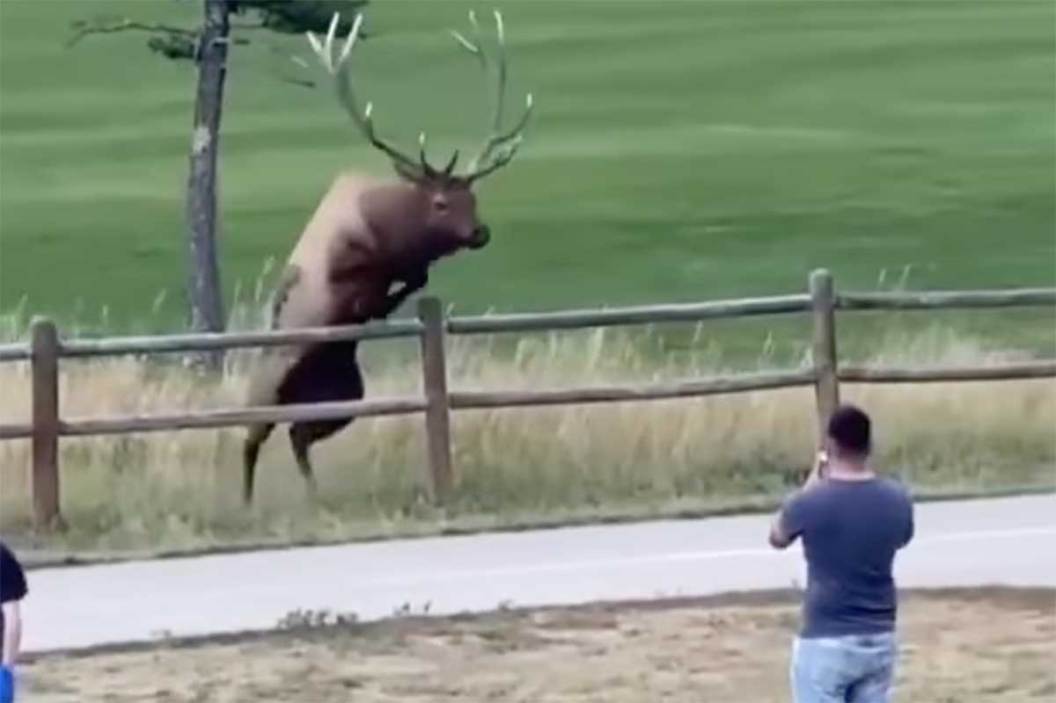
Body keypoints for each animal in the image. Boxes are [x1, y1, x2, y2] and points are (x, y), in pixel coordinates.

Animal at [241, 10, 533, 505]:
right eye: (440, 202)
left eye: (473, 197)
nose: (480, 232)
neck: (388, 232)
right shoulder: (339, 267)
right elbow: (357, 286)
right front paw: (371, 298)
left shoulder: (407, 268)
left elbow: (415, 280)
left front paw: (390, 297)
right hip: (271, 376)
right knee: (252, 436)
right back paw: (246, 502)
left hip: (345, 396)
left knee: (298, 435)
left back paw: (315, 495)